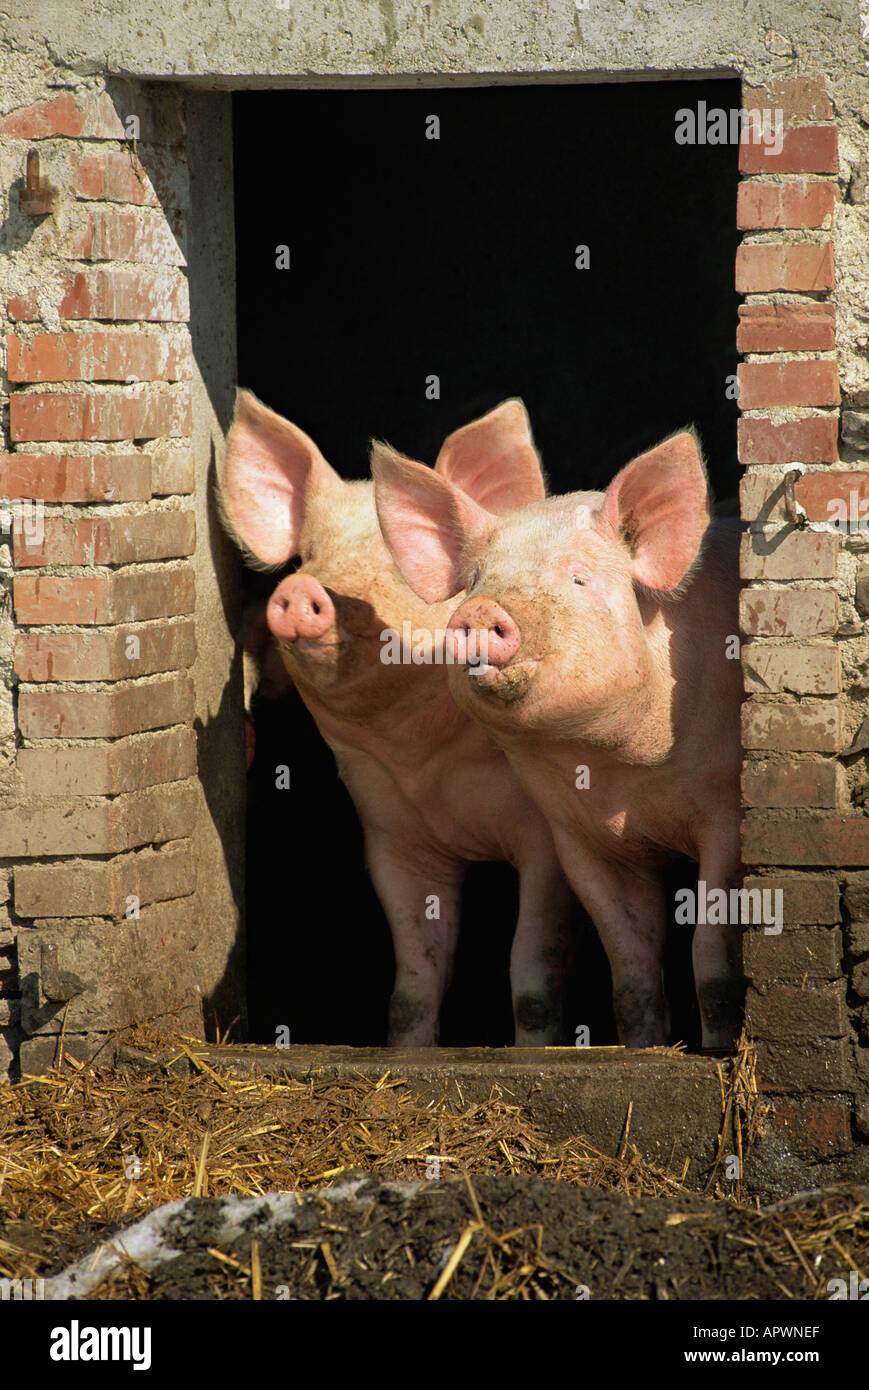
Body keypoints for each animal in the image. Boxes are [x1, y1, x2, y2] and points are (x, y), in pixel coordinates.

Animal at [220, 390, 572, 1046]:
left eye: (399, 563)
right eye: (307, 555)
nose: (301, 590)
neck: (422, 766)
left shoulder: (551, 837)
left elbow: (532, 977)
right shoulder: (395, 844)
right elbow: (413, 988)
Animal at [372, 403, 743, 1048]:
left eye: (577, 578)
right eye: (474, 579)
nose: (480, 611)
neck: (620, 773)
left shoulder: (727, 813)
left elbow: (710, 957)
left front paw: (716, 1052)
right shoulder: (579, 840)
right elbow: (630, 969)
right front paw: (643, 1049)